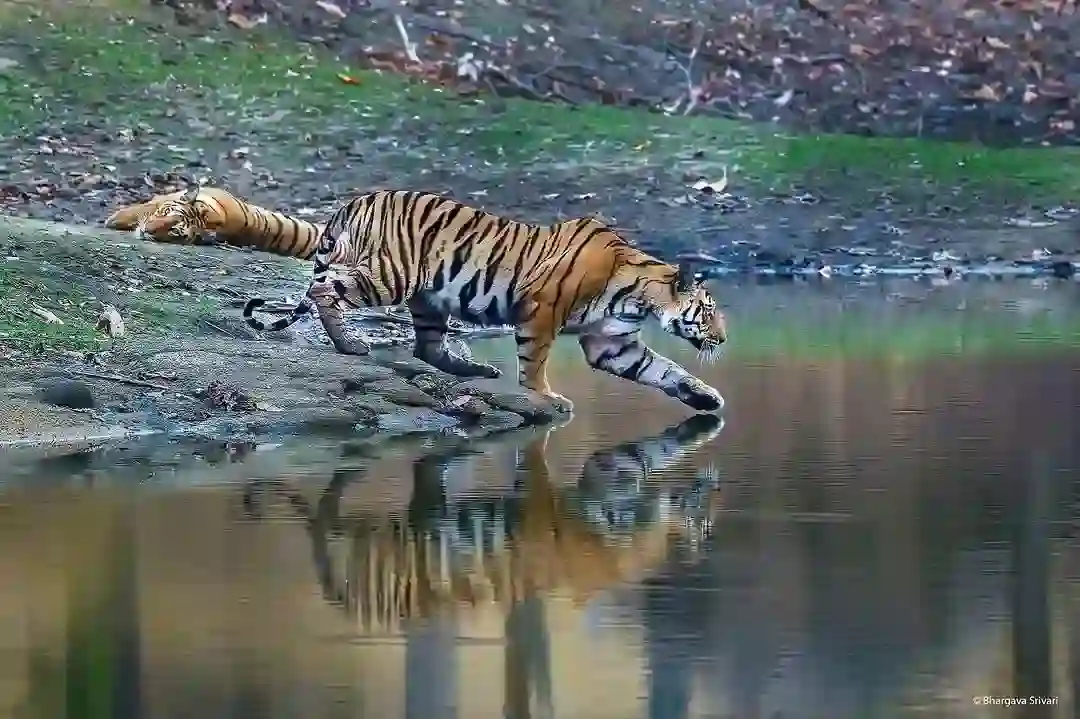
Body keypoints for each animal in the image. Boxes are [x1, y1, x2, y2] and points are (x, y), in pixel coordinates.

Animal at [241, 189, 728, 415]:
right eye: (707, 310)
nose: (723, 340)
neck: (639, 298)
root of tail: (359, 199)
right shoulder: (542, 309)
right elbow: (535, 360)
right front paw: (546, 397)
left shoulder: (611, 343)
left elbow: (663, 369)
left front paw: (705, 397)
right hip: (392, 276)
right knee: (325, 289)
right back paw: (349, 344)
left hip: (428, 296)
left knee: (427, 347)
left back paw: (477, 369)